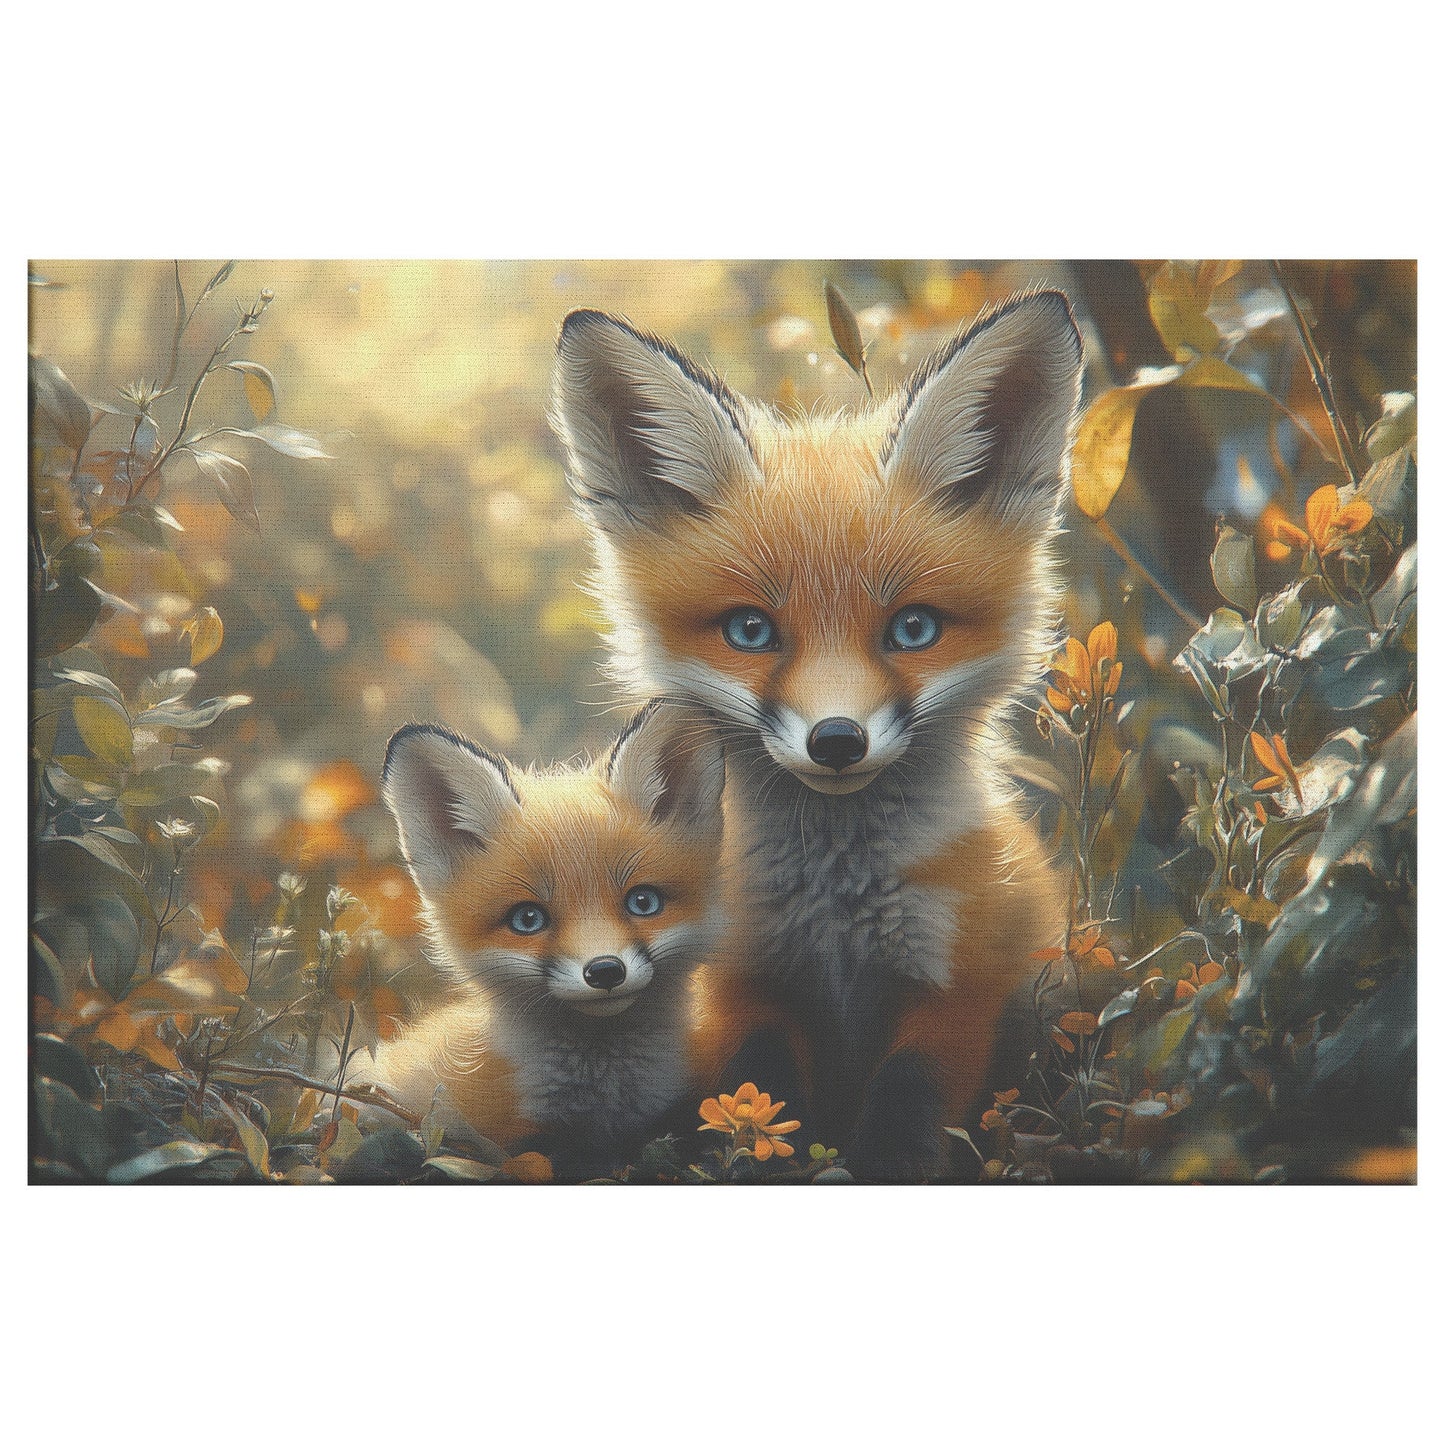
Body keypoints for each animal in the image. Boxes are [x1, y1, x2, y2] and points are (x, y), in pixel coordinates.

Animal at [551, 291, 1087, 1179]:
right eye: (749, 630)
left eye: (912, 628)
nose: (837, 741)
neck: (839, 924)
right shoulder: (745, 986)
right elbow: (760, 1103)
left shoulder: (955, 992)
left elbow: (906, 1117)